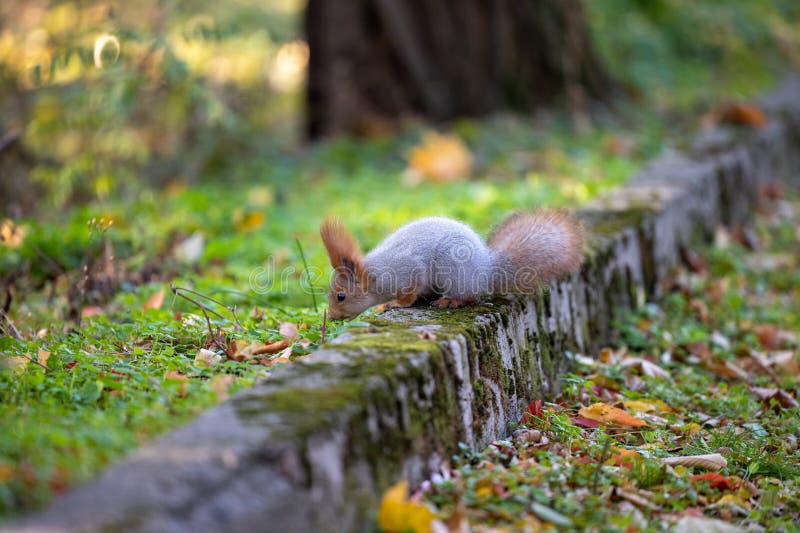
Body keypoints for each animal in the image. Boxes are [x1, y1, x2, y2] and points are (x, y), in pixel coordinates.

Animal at [320, 210, 585, 319]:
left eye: (341, 296)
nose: (332, 317)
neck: (374, 275)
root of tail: (487, 270)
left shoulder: (408, 271)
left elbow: (408, 293)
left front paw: (395, 304)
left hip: (455, 270)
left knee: (469, 297)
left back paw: (450, 301)